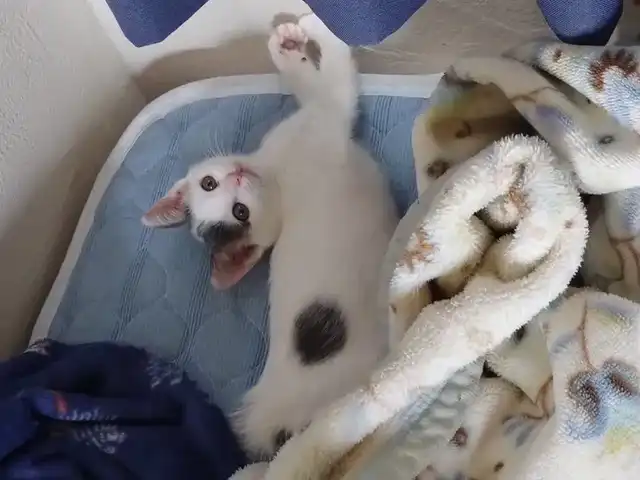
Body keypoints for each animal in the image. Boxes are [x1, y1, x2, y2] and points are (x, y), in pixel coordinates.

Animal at [141, 14, 398, 458]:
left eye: (209, 183)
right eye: (239, 212)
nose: (238, 176)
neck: (273, 170)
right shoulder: (326, 116)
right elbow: (327, 77)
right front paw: (300, 39)